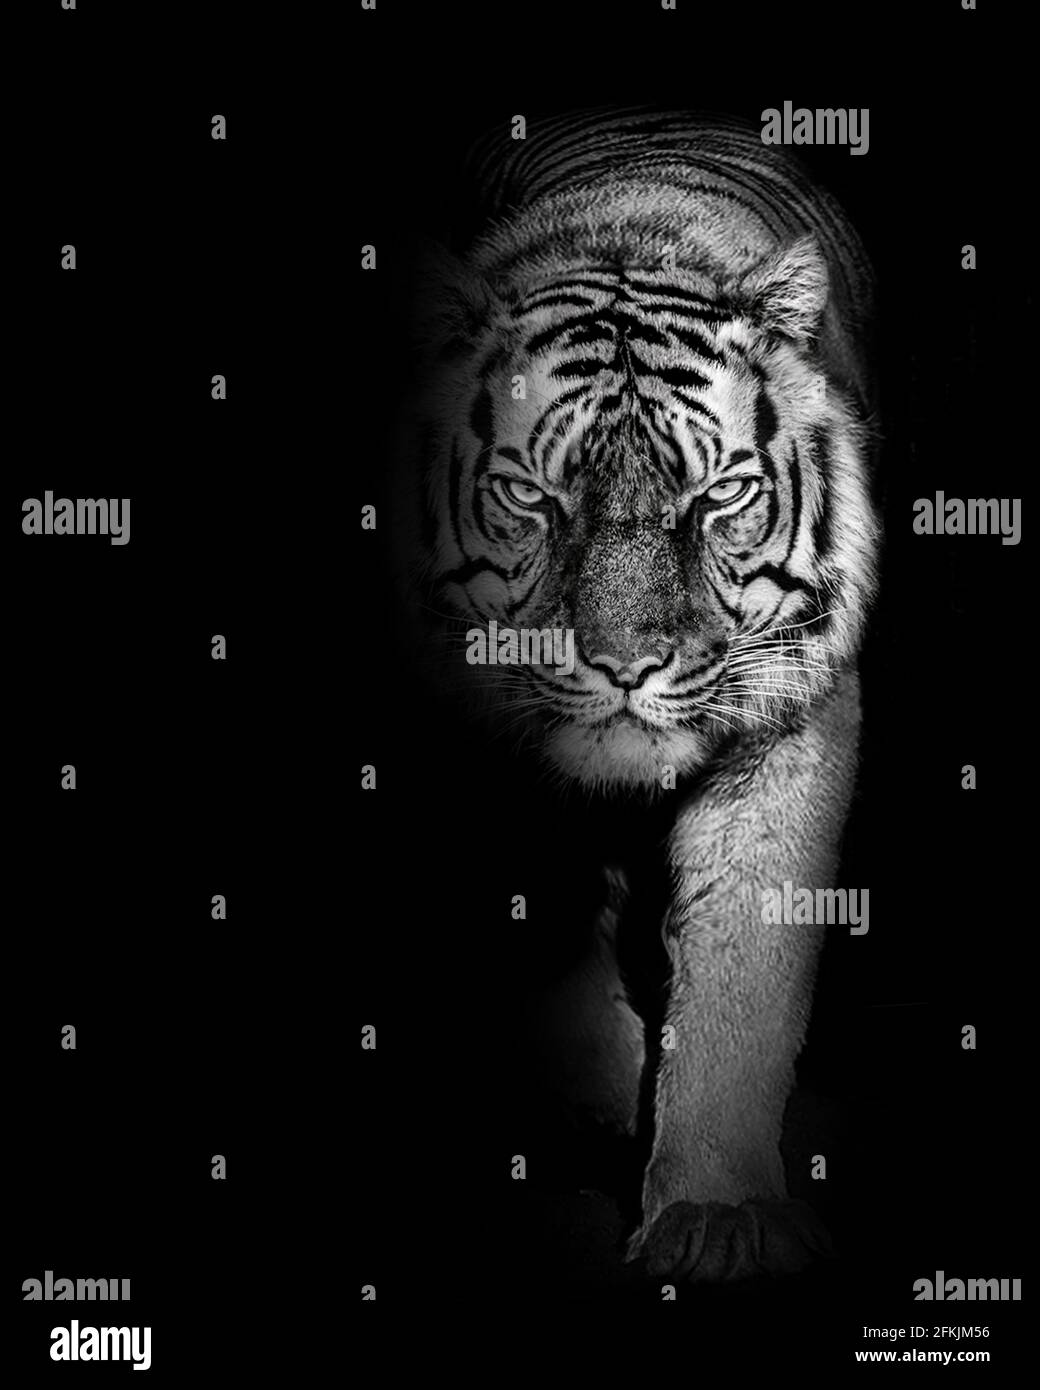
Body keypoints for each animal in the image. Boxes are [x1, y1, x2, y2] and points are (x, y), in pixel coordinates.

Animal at [398, 108, 879, 1281]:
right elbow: (544, 926)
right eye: (530, 494)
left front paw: (717, 1211)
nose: (627, 664)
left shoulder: (789, 721)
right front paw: (603, 1100)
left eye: (720, 496)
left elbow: (743, 973)